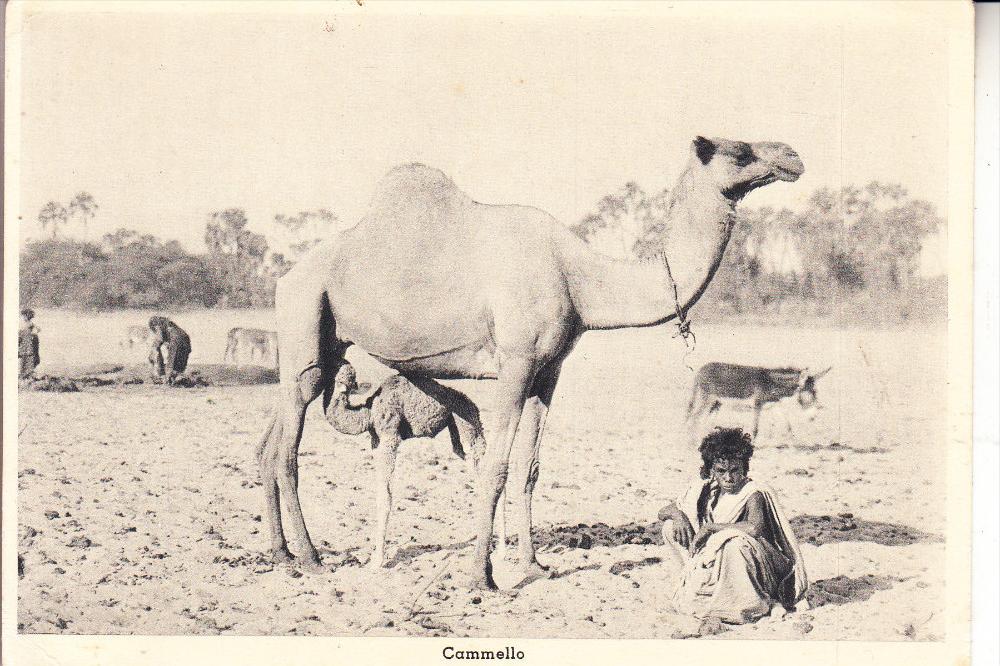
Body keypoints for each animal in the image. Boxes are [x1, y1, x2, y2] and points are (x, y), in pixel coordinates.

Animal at [320, 362, 486, 569]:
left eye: (339, 374)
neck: (369, 412)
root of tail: (473, 404)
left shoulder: (390, 435)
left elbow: (386, 498)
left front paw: (377, 560)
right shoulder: (376, 440)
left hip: (467, 421)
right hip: (456, 428)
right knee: (472, 461)